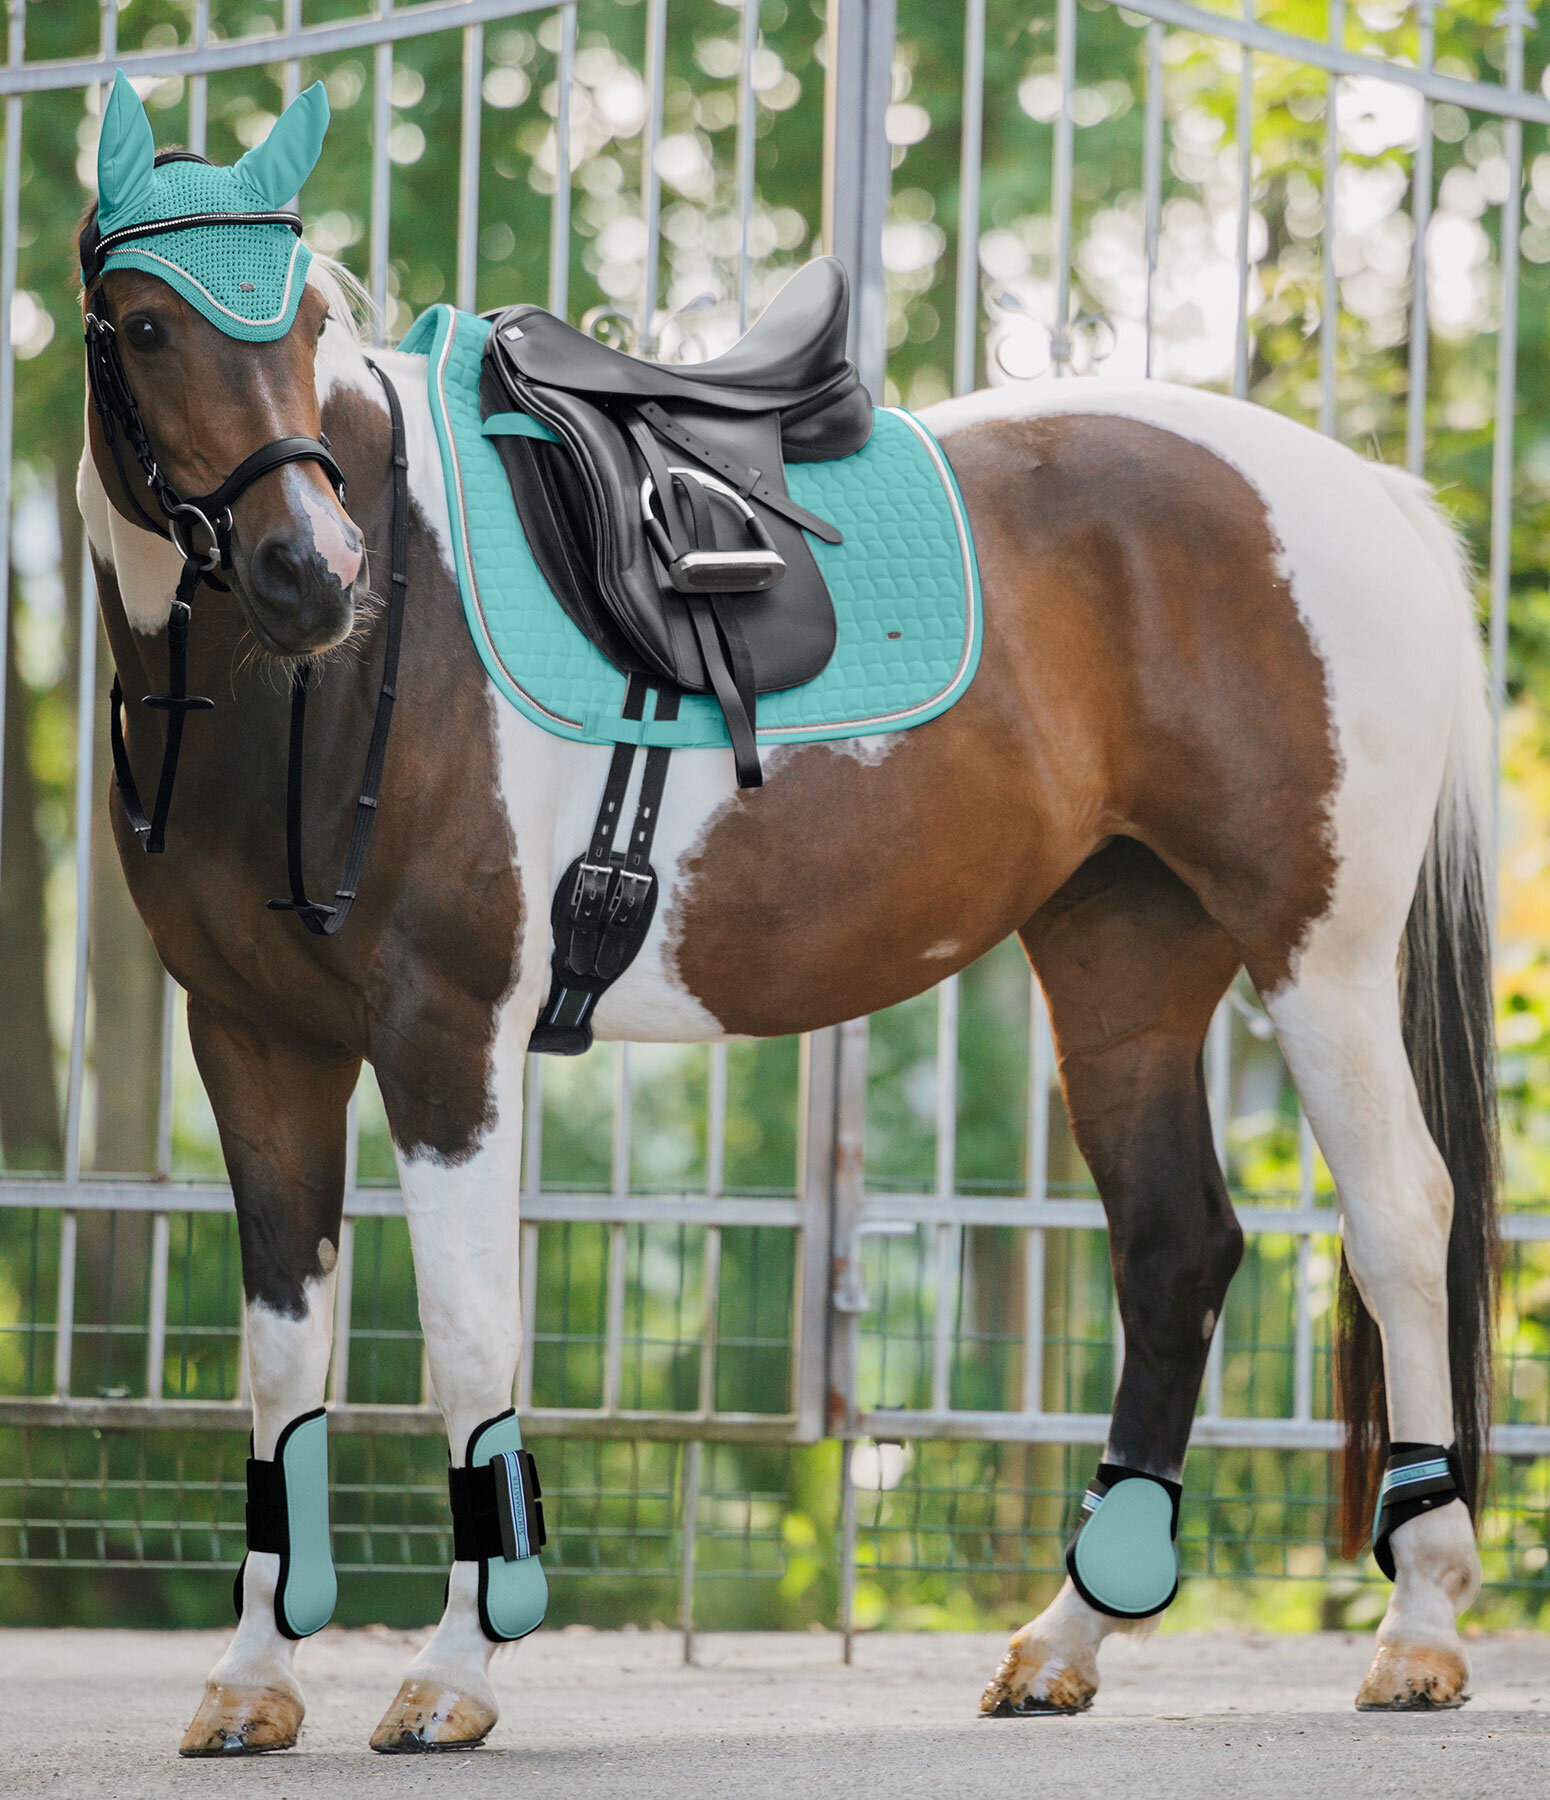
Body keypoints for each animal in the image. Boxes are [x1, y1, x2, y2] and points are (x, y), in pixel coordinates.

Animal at [78, 217, 1496, 1748]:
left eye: (303, 323)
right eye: (145, 326)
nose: (311, 574)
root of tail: (1364, 492)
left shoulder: (443, 1035)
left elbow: (466, 1334)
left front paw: (450, 1674)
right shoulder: (253, 1043)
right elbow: (281, 1356)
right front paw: (249, 1683)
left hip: (1319, 957)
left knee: (1400, 1220)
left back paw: (1417, 1629)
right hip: (1122, 961)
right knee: (1174, 1249)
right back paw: (1064, 1639)